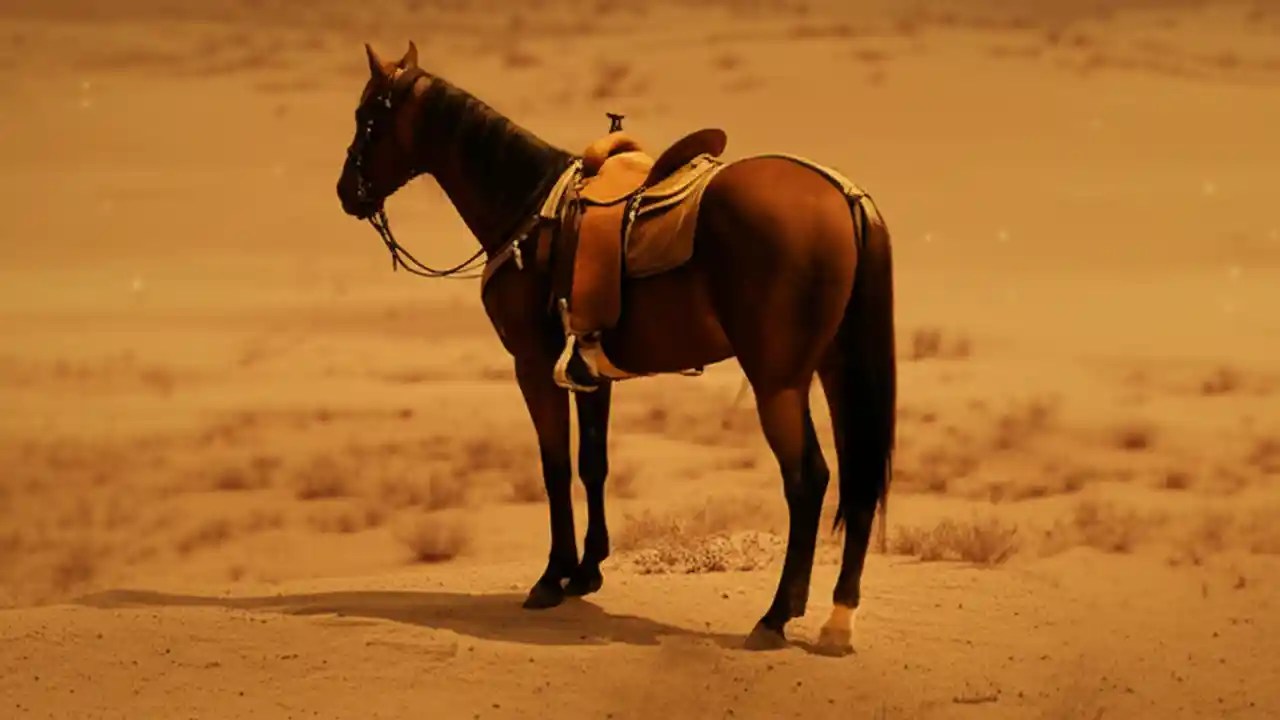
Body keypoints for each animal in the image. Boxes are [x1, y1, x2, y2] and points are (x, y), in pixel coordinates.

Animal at [334, 41, 896, 656]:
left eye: (367, 117)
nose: (345, 192)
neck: (528, 205)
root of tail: (844, 195)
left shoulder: (533, 367)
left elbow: (555, 466)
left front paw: (552, 577)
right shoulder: (588, 372)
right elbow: (593, 464)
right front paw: (586, 571)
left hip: (779, 383)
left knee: (808, 480)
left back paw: (775, 616)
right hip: (837, 369)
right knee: (858, 481)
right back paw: (838, 620)